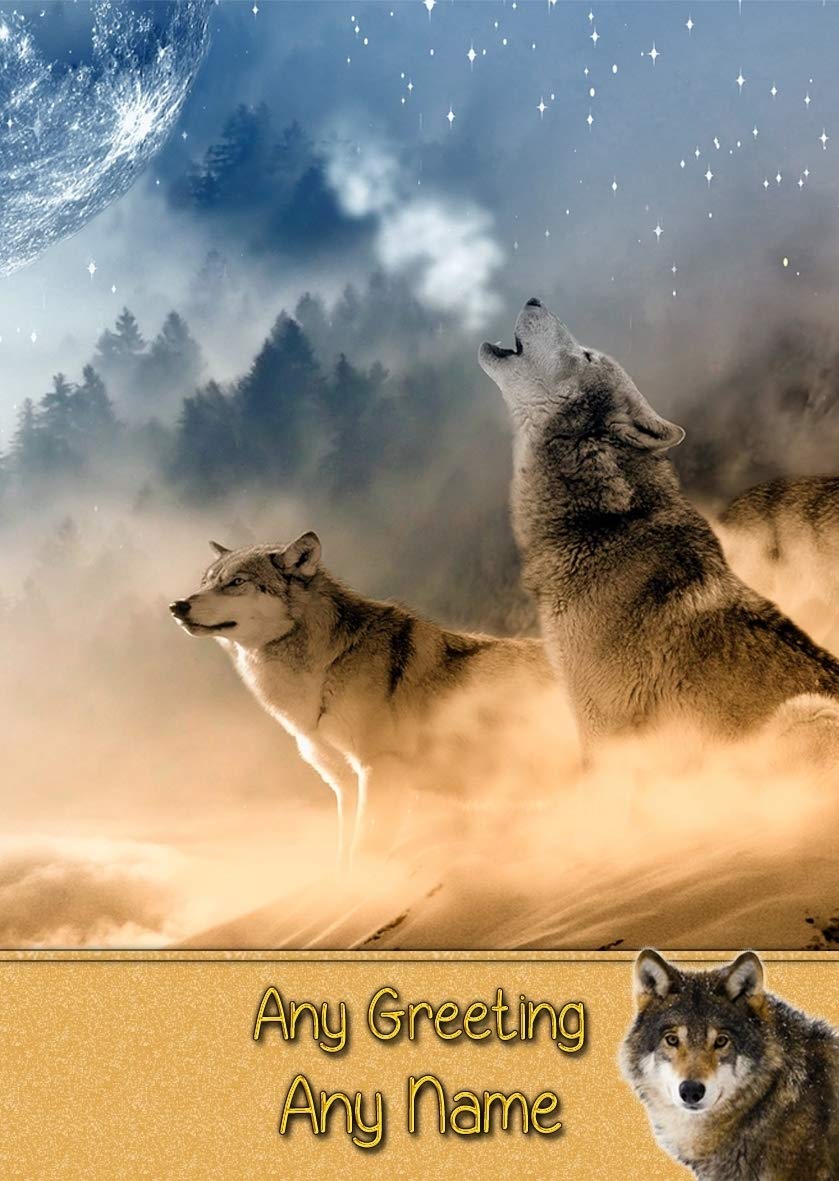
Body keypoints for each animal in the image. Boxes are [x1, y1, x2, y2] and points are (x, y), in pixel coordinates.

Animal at [170, 532, 555, 870]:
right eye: (206, 582)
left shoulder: (379, 770)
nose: (177, 605)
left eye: (236, 582)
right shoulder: (345, 784)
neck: (326, 668)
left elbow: (363, 851)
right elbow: (345, 855)